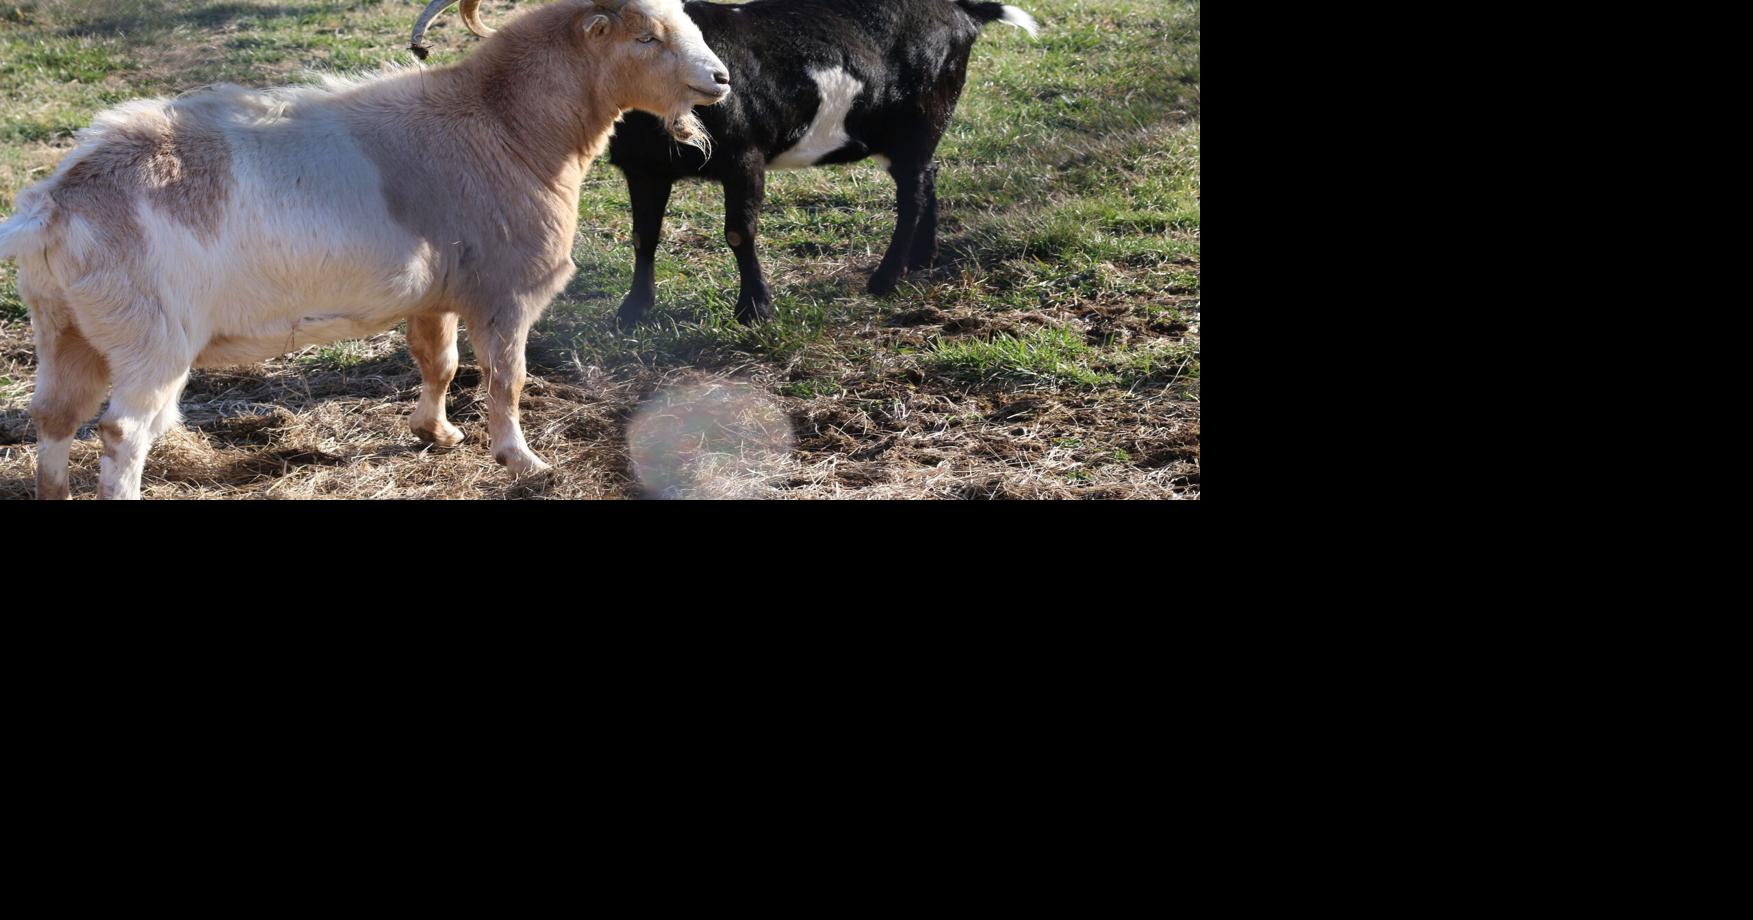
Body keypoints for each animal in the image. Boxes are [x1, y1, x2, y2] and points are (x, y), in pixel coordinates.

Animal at [0, 0, 729, 499]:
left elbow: (440, 364)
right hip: (149, 341)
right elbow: (505, 380)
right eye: (646, 35)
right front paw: (522, 460)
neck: (503, 126)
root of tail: (55, 204)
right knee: (122, 432)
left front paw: (436, 434)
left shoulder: (435, 296)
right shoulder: (506, 294)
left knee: (55, 414)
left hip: (66, 329)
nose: (720, 78)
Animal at [595, 0, 1040, 325]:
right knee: (928, 175)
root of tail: (962, 12)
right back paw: (921, 259)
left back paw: (885, 279)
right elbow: (644, 236)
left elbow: (739, 233)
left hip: (921, 120)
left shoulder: (745, 157)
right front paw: (632, 311)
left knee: (912, 193)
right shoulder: (643, 168)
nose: (719, 79)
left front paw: (754, 311)